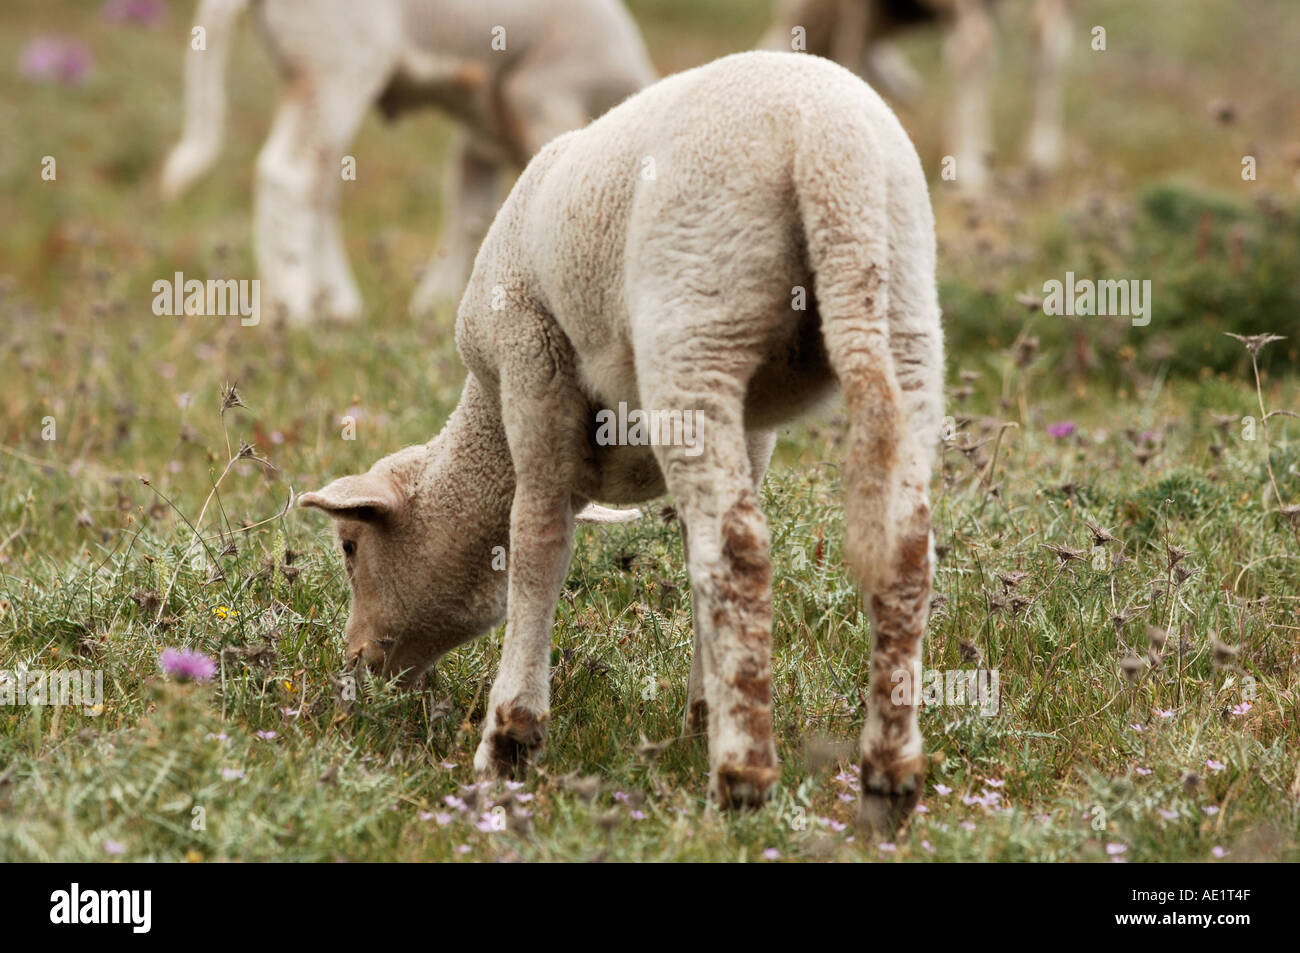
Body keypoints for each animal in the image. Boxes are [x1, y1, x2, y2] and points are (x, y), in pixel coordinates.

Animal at [160, 0, 655, 324]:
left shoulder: (478, 142)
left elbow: (470, 218)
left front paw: (436, 308)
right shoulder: (544, 96)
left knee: (321, 187)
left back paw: (338, 307)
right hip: (338, 64)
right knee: (290, 176)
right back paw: (294, 312)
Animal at [299, 50, 944, 833]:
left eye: (350, 546)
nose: (358, 663)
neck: (485, 421)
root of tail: (829, 152)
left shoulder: (532, 360)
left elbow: (537, 544)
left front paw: (509, 739)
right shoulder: (755, 428)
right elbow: (693, 562)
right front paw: (702, 712)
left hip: (698, 317)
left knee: (740, 549)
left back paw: (743, 778)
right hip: (903, 318)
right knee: (900, 545)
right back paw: (887, 780)